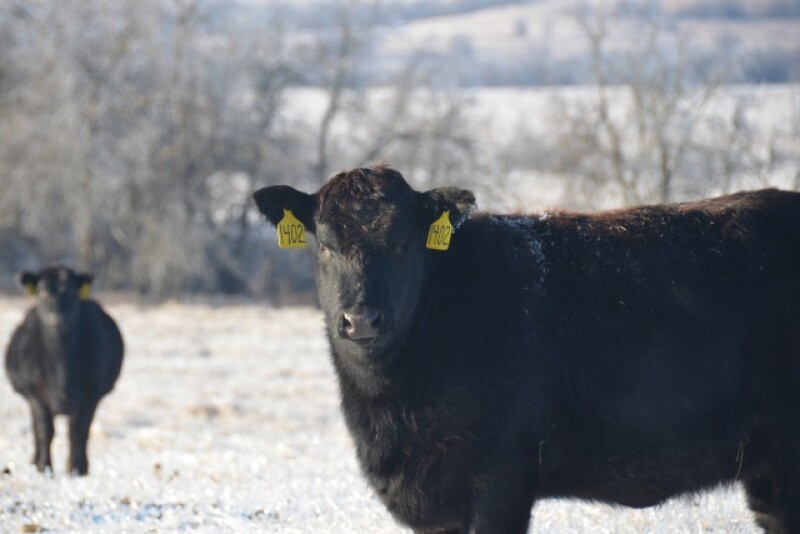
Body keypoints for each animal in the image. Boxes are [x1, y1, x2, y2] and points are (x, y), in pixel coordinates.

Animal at [5, 266, 124, 476]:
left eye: (73, 293)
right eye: (42, 291)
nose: (56, 318)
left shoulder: (91, 394)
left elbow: (78, 431)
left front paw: (77, 468)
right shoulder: (36, 394)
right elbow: (45, 430)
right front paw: (44, 467)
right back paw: (35, 461)